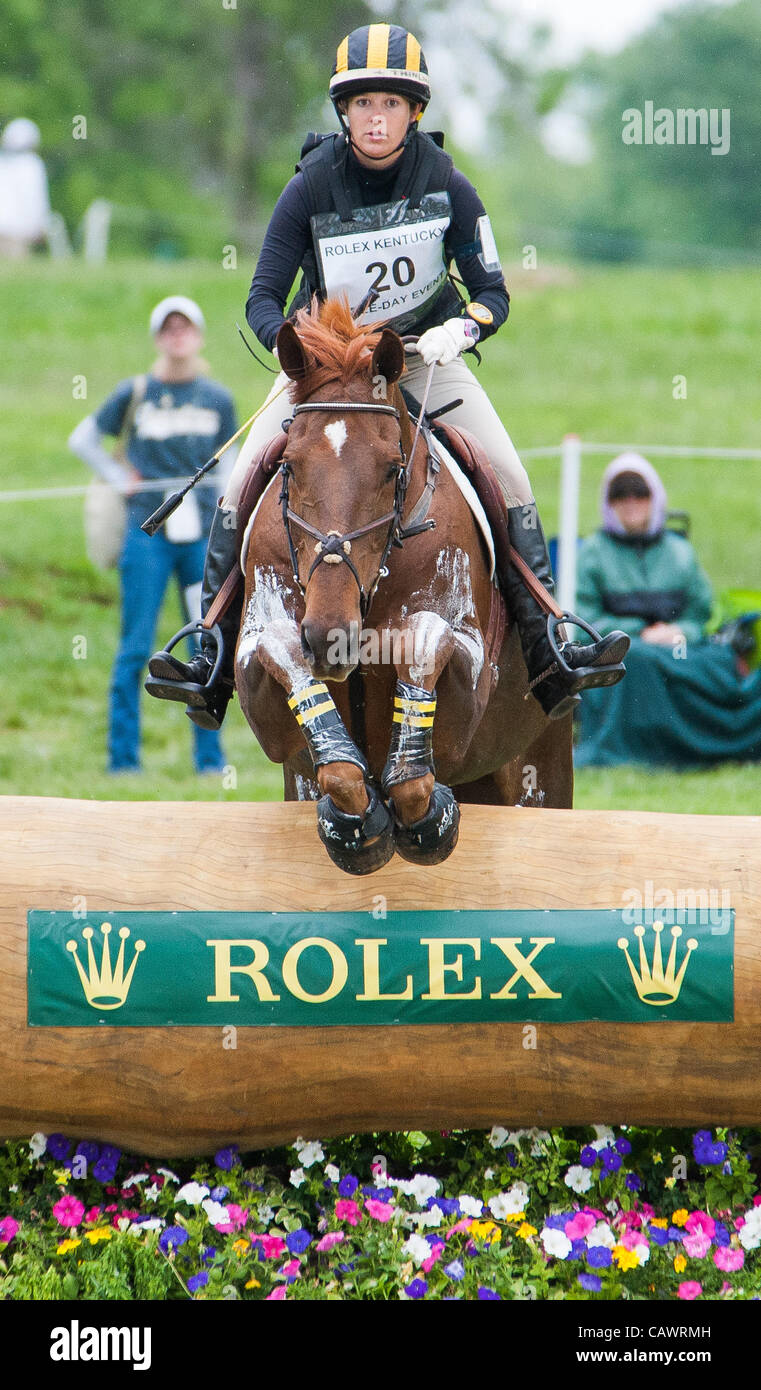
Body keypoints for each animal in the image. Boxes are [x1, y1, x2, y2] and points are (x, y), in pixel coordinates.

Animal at [234, 297, 573, 874]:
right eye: (290, 467)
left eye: (393, 469)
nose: (330, 635)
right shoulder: (267, 709)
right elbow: (283, 654)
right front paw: (357, 825)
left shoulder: (466, 693)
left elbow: (422, 640)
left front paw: (430, 816)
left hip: (541, 775)